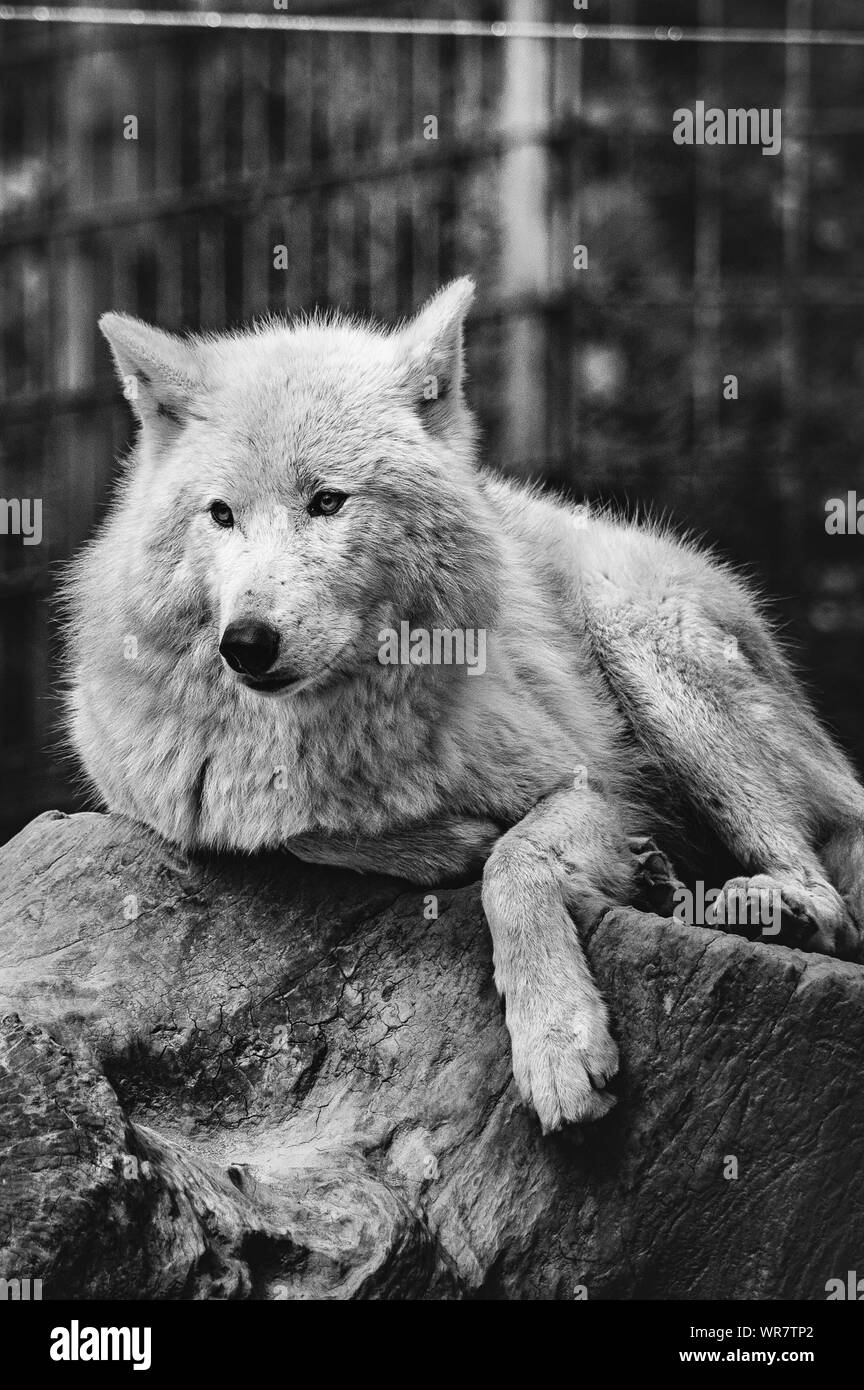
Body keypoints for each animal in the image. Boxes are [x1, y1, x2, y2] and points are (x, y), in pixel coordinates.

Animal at [63, 278, 864, 1133]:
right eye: (220, 514)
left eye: (327, 501)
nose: (246, 644)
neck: (322, 732)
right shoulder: (170, 799)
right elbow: (292, 835)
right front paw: (448, 842)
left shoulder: (591, 787)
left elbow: (514, 865)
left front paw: (556, 1044)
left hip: (641, 643)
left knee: (831, 901)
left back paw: (763, 905)